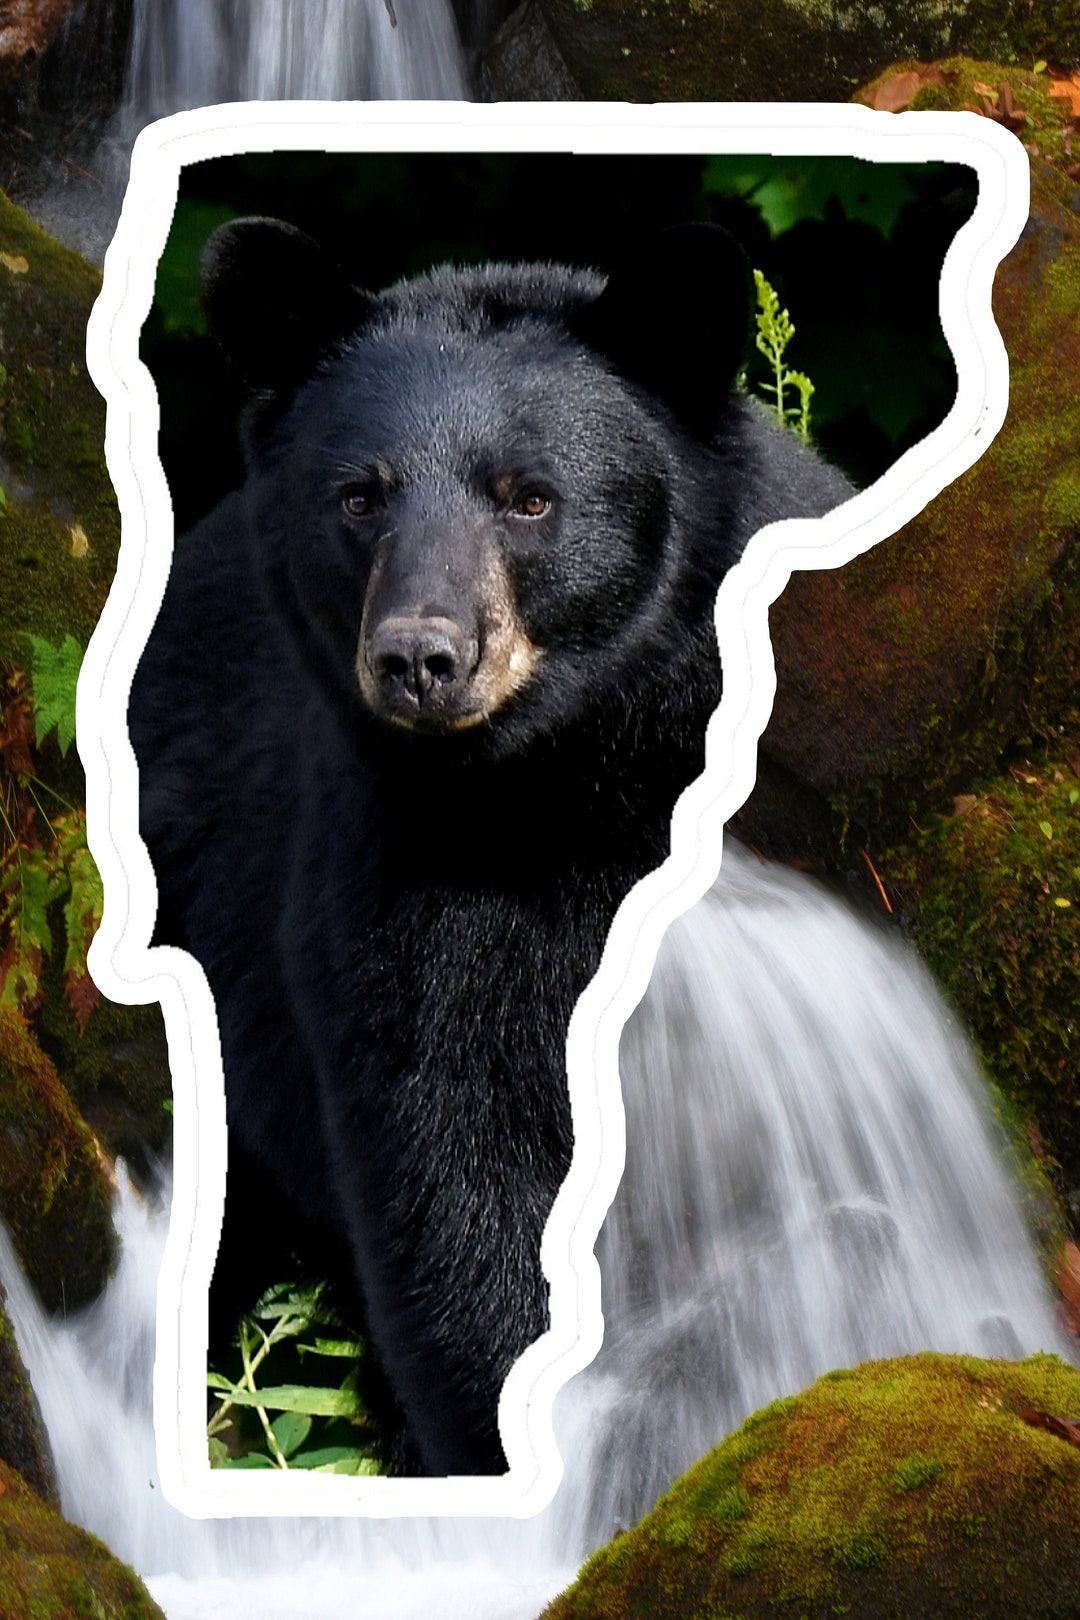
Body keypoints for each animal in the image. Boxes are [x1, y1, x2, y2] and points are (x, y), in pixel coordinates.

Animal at [129, 217, 852, 1476]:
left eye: (531, 499)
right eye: (359, 496)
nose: (420, 658)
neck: (563, 774)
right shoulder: (401, 877)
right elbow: (460, 1172)